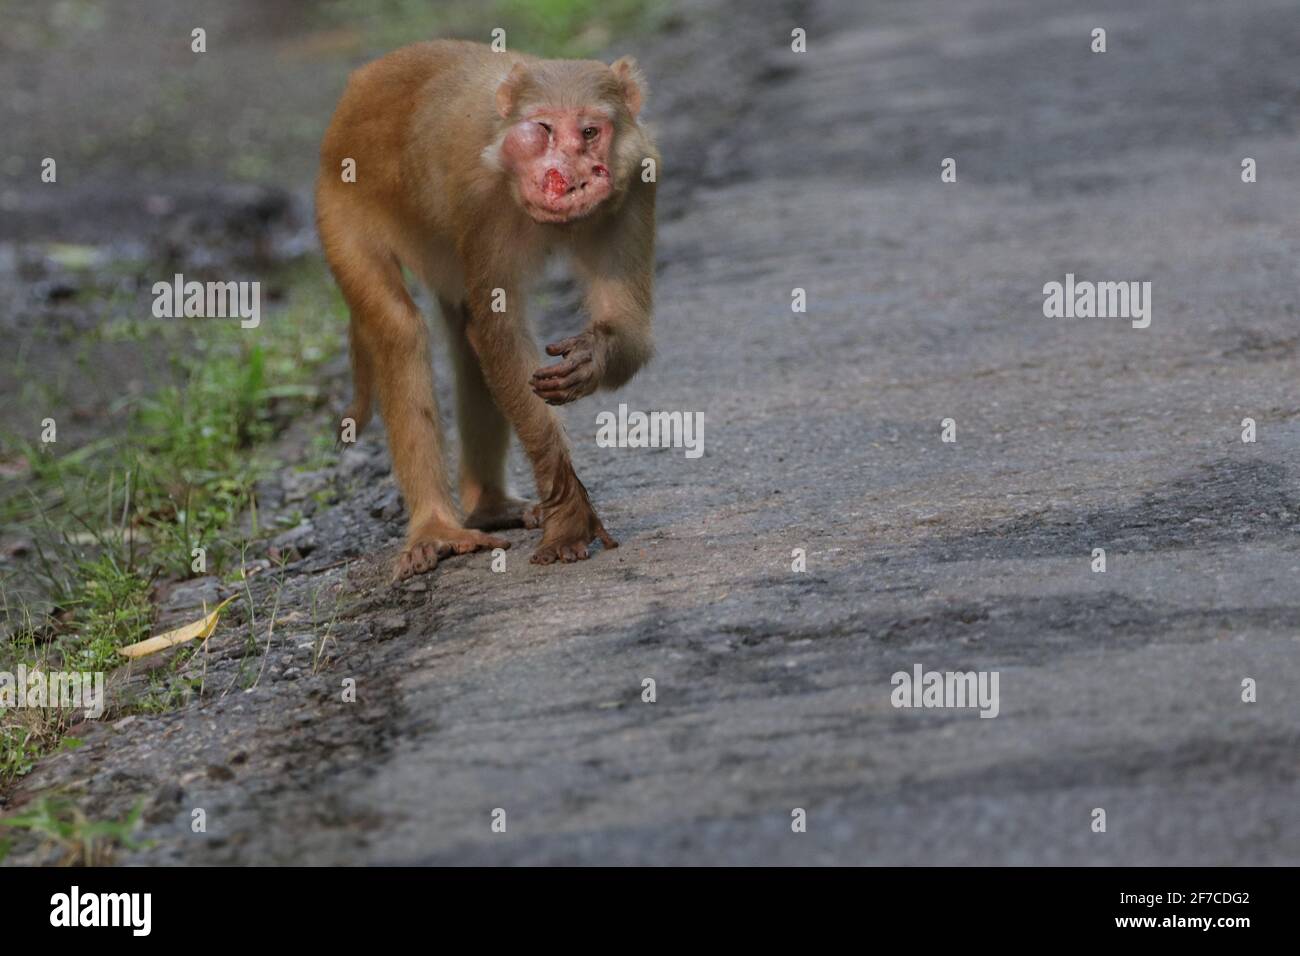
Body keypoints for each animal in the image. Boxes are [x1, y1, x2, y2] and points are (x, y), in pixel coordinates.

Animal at [316, 40, 658, 581]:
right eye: (543, 130)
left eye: (589, 132)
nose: (564, 174)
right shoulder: (483, 201)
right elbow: (499, 334)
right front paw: (568, 512)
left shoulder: (638, 184)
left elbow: (630, 329)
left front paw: (590, 360)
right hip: (340, 209)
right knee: (400, 329)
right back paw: (436, 529)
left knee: (462, 338)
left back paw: (490, 506)